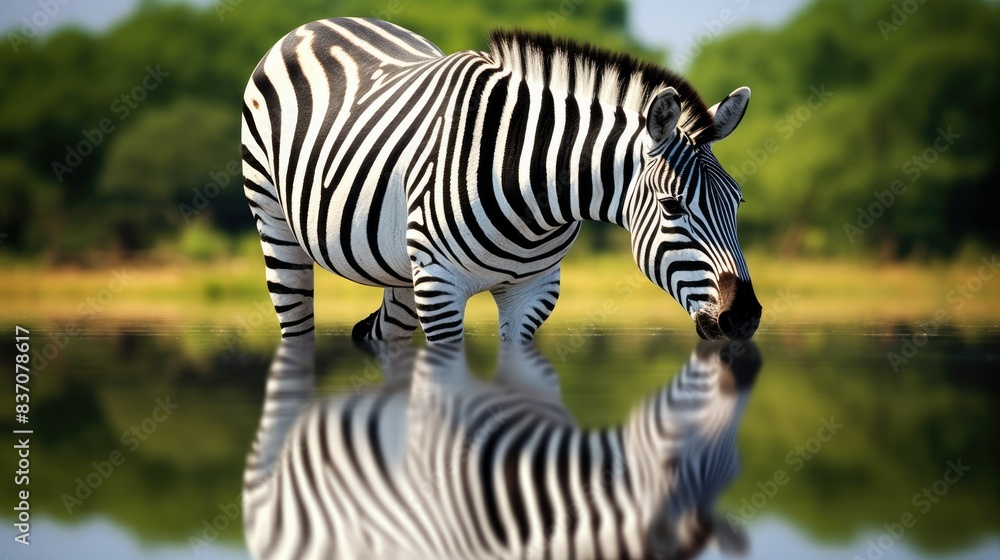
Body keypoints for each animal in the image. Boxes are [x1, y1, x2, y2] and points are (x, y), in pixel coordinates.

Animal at [242, 18, 762, 344]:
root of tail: (316, 25)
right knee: (296, 326)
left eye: (737, 202)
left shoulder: (533, 293)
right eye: (673, 206)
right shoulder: (440, 287)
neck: (534, 192)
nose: (744, 318)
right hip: (276, 225)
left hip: (400, 268)